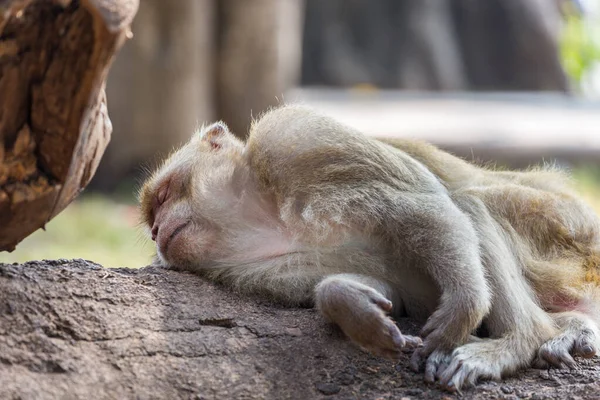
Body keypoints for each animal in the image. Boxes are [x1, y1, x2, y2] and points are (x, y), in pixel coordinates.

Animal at [138, 104, 600, 392]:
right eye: (151, 221)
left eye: (162, 196)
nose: (157, 231)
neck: (261, 210)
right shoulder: (248, 268)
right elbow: (389, 291)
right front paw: (356, 309)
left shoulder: (295, 138)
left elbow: (425, 207)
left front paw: (463, 308)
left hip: (563, 231)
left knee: (470, 204)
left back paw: (518, 341)